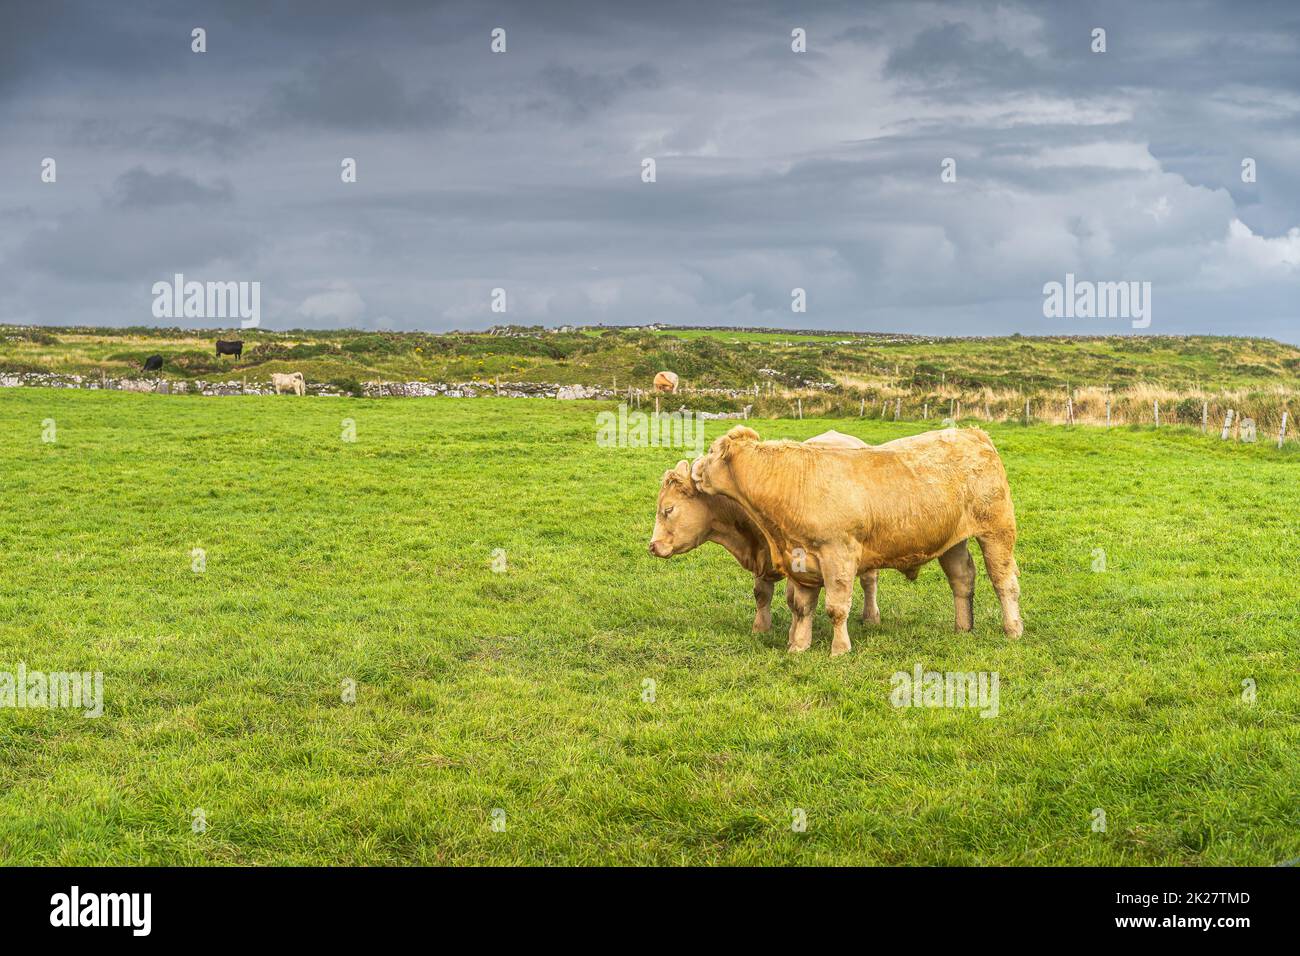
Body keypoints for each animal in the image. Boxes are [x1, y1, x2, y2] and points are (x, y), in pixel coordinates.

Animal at [649, 430, 896, 636]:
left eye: (668, 509)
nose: (652, 546)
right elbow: (762, 594)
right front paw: (761, 628)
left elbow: (793, 599)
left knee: (869, 581)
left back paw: (871, 616)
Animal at [691, 425, 1022, 656]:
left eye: (711, 450)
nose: (694, 468)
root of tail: (973, 433)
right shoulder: (801, 560)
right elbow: (802, 608)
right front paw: (799, 646)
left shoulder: (839, 554)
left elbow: (837, 608)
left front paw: (839, 650)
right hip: (952, 541)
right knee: (962, 579)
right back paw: (963, 628)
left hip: (998, 530)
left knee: (1004, 581)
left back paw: (1013, 630)